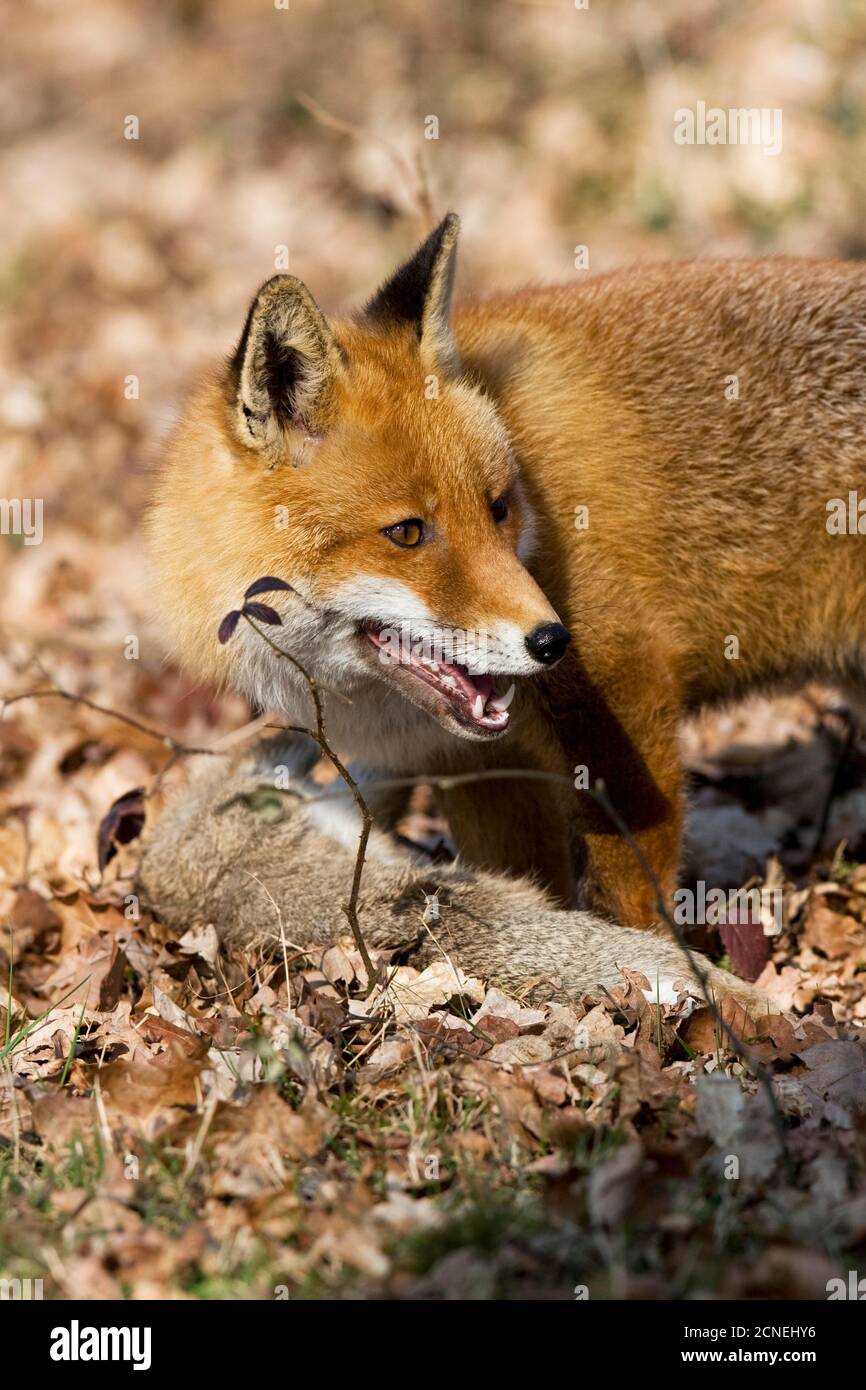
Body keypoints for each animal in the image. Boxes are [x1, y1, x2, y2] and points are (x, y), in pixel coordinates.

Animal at [147, 212, 866, 929]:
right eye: (407, 533)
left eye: (498, 508)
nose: (552, 641)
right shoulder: (481, 761)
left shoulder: (626, 693)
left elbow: (634, 898)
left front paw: (652, 960)